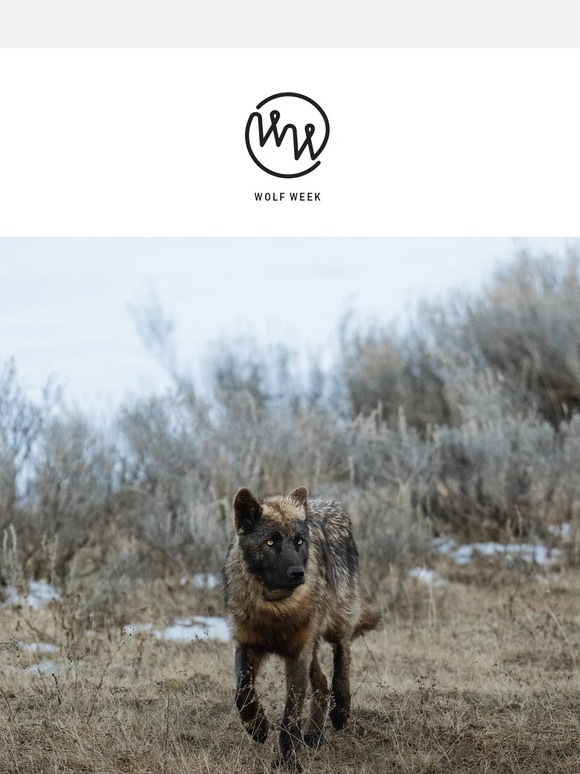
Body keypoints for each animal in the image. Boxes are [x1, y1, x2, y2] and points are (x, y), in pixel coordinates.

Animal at [223, 486, 379, 770]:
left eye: (299, 542)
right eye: (270, 543)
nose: (298, 573)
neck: (276, 609)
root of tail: (328, 503)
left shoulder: (297, 654)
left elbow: (291, 714)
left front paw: (287, 761)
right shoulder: (247, 643)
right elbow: (243, 693)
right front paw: (257, 727)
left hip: (336, 624)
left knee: (342, 656)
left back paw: (341, 710)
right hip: (312, 648)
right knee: (322, 682)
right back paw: (315, 735)